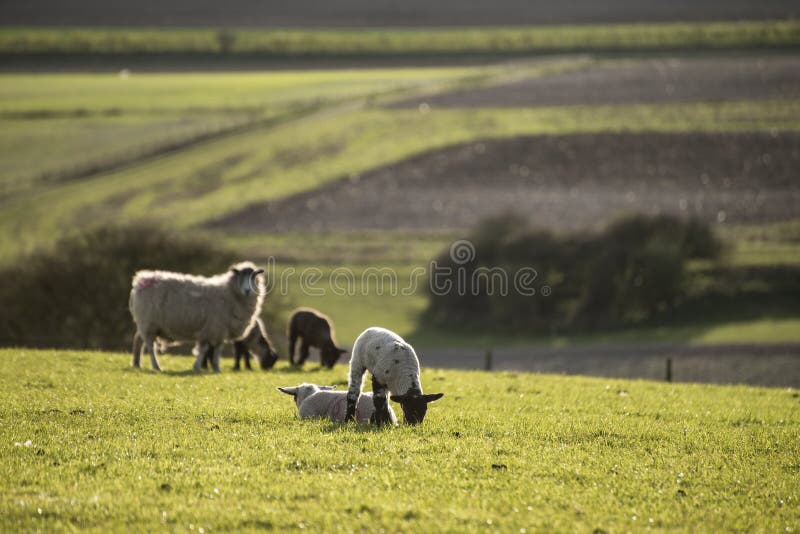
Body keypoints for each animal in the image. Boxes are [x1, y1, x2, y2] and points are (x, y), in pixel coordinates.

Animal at [128, 261, 264, 372]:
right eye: (240, 276)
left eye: (254, 277)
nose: (247, 290)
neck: (230, 293)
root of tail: (141, 280)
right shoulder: (211, 328)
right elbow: (205, 349)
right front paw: (198, 367)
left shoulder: (220, 330)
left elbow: (218, 350)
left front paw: (216, 368)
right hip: (148, 323)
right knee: (150, 347)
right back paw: (156, 366)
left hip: (146, 324)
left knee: (138, 340)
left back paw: (137, 363)